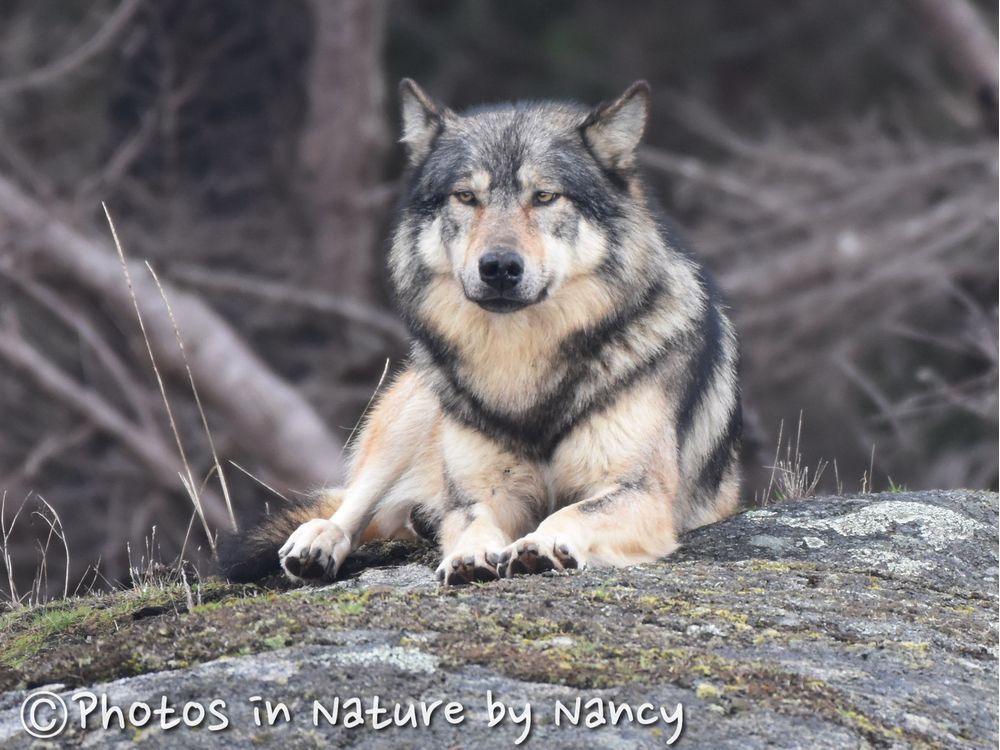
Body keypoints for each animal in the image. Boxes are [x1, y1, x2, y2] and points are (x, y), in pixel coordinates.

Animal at [219, 79, 742, 586]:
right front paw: (470, 555)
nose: (499, 267)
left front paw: (542, 545)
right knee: (354, 503)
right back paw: (320, 541)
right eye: (467, 196)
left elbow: (571, 512)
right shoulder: (486, 490)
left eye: (544, 196)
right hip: (412, 412)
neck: (522, 366)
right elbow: (472, 521)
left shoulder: (640, 491)